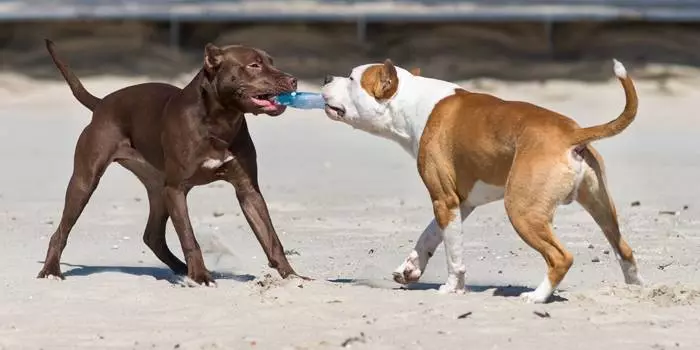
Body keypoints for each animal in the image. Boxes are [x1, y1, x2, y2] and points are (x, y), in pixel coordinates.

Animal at [320, 58, 644, 302]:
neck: (410, 103)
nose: (325, 77)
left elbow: (453, 254)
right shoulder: (459, 203)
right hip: (601, 208)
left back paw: (537, 297)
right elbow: (429, 235)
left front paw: (452, 287)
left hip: (522, 210)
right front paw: (410, 268)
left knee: (561, 257)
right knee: (624, 249)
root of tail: (571, 133)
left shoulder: (444, 200)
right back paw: (636, 290)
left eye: (352, 78)